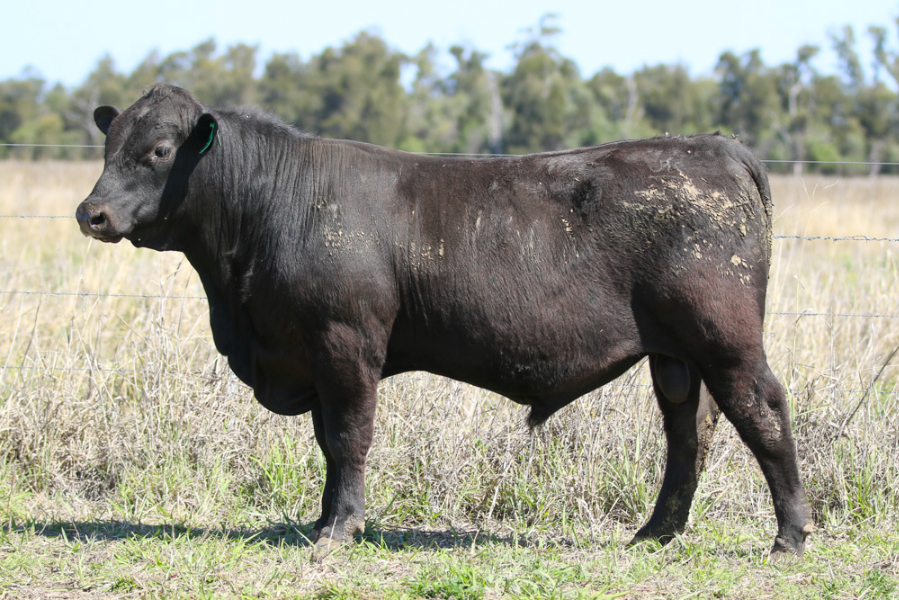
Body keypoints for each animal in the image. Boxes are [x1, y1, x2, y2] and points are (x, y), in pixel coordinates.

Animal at [76, 84, 813, 555]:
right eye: (109, 145)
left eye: (160, 150)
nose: (92, 213)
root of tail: (713, 146)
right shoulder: (312, 355)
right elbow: (327, 443)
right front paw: (322, 520)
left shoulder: (345, 343)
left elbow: (348, 437)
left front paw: (339, 530)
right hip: (676, 354)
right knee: (688, 431)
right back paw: (656, 532)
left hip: (726, 339)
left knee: (763, 411)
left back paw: (790, 535)